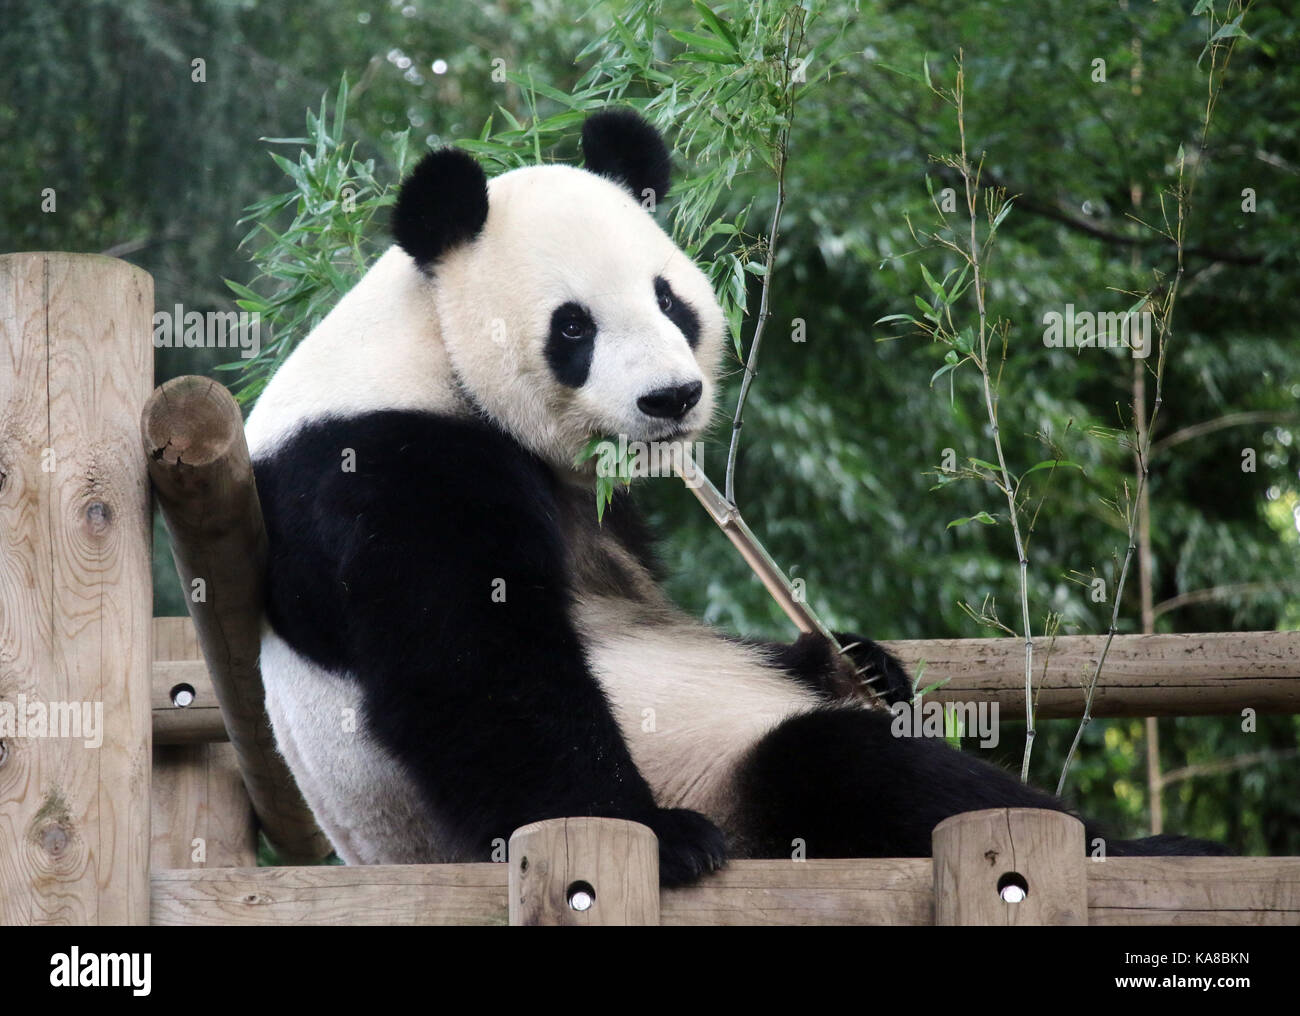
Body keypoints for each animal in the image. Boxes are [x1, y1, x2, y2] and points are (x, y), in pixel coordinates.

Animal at [243, 108, 1225, 884]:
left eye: (669, 300)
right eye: (574, 327)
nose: (671, 400)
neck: (429, 347)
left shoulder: (597, 500)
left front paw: (862, 658)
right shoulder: (387, 465)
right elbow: (480, 672)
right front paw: (659, 839)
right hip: (724, 778)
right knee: (844, 767)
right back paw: (1147, 849)